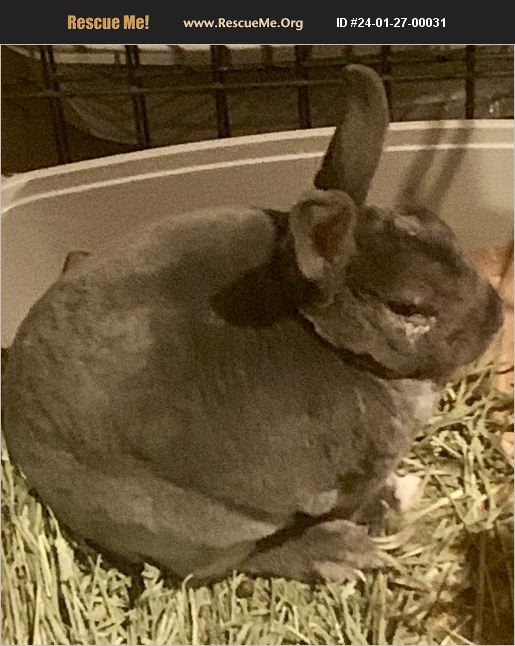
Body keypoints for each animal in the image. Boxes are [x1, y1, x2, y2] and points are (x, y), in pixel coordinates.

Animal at [2, 65, 503, 584]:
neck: (322, 333)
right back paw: (340, 551)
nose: (495, 318)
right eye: (405, 307)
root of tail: (21, 438)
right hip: (203, 531)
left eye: (433, 224)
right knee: (237, 562)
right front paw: (385, 510)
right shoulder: (353, 479)